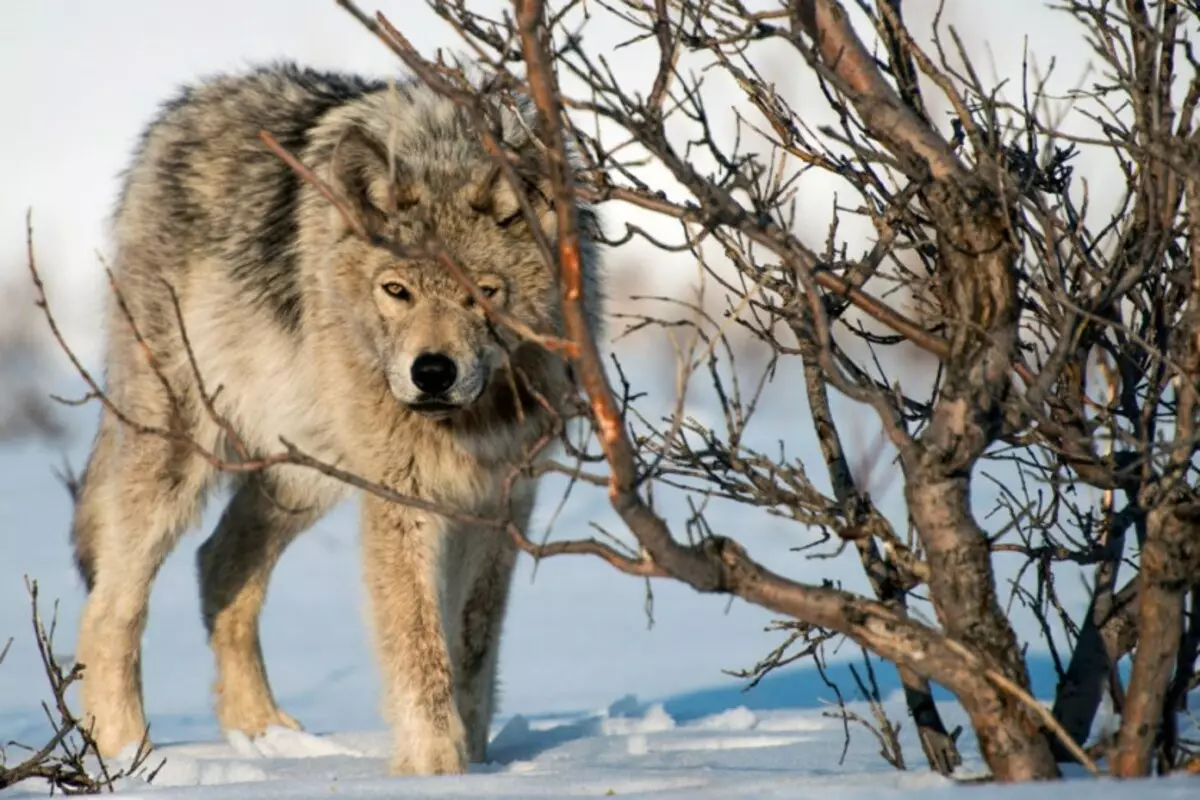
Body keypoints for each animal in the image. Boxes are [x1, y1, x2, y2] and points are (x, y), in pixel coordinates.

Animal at [70, 62, 604, 777]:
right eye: (397, 291)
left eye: (482, 294)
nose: (432, 373)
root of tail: (181, 110)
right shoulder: (399, 497)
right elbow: (419, 646)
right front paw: (434, 769)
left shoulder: (501, 503)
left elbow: (472, 645)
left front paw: (477, 761)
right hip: (179, 461)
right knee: (110, 610)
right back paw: (133, 757)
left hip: (304, 474)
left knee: (219, 564)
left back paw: (267, 739)